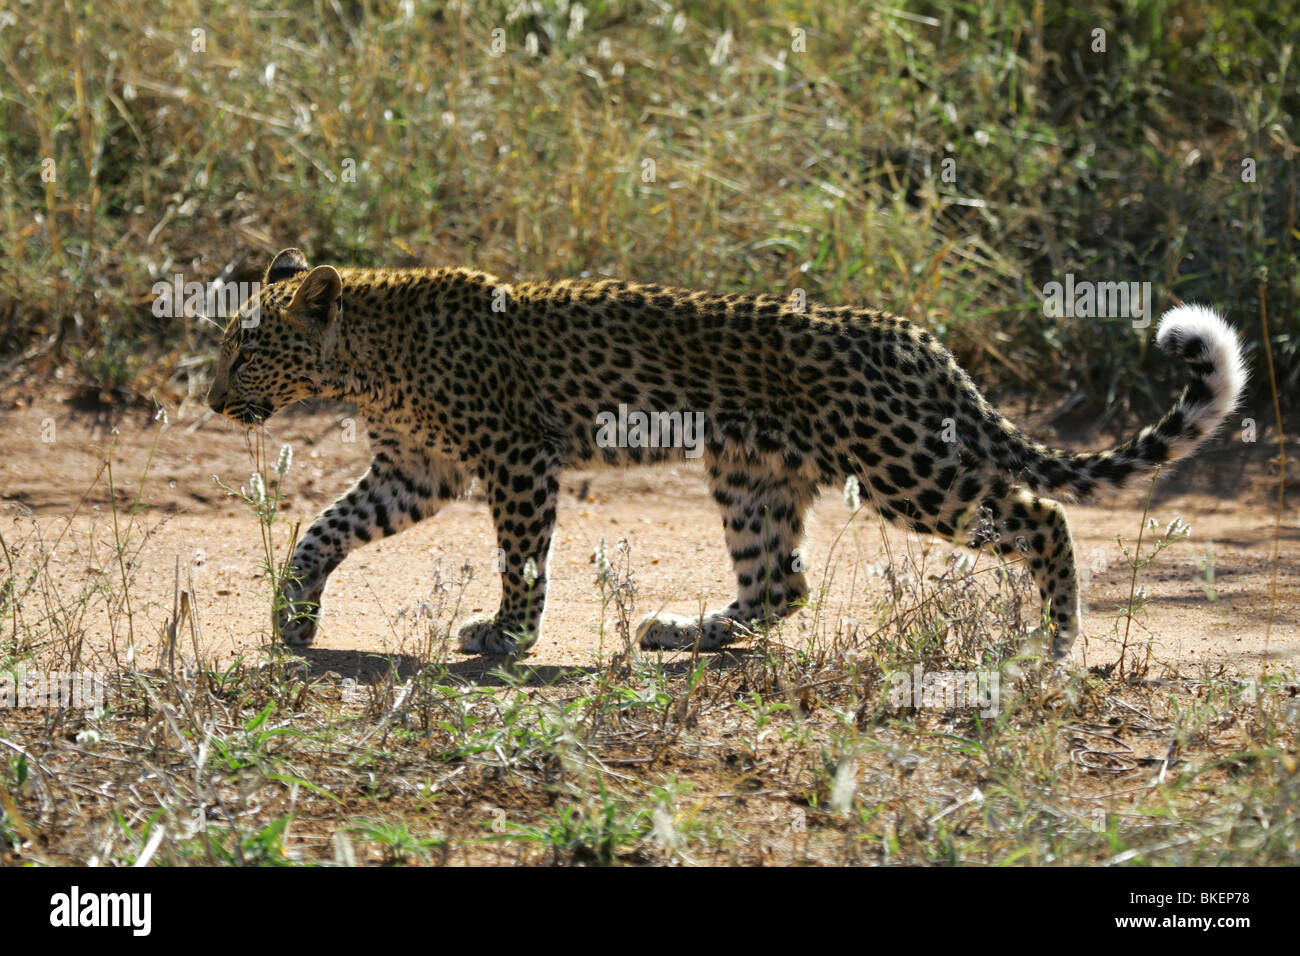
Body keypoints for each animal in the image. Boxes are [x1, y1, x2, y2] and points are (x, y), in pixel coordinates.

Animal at [207, 248, 1247, 659]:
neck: (365, 360)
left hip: (906, 464)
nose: (214, 399)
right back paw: (685, 630)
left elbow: (521, 559)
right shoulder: (414, 471)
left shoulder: (515, 458)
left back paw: (1056, 641)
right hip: (751, 470)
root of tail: (920, 338)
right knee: (779, 583)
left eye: (246, 349)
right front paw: (293, 617)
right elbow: (322, 531)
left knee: (1042, 515)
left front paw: (506, 639)